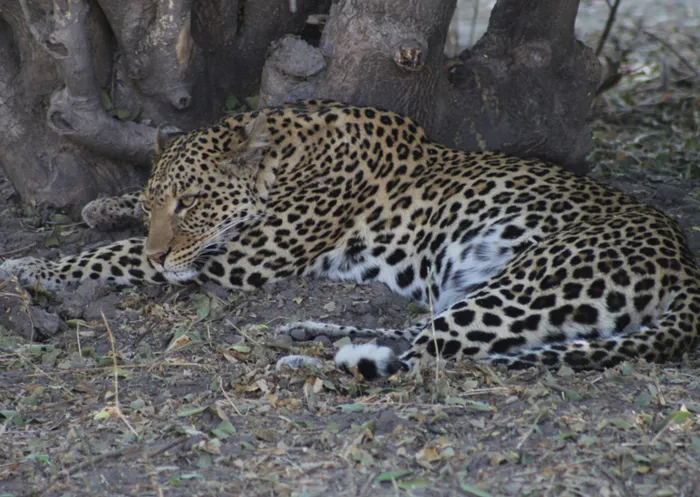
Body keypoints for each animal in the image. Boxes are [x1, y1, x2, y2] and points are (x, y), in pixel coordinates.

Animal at [3, 100, 699, 379]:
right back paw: (305, 332)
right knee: (419, 334)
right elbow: (119, 230)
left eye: (193, 203)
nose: (159, 246)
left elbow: (114, 257)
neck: (287, 149)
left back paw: (307, 361)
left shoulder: (242, 258)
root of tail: (687, 259)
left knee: (424, 357)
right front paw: (104, 205)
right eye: (155, 204)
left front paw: (26, 267)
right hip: (487, 290)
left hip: (531, 283)